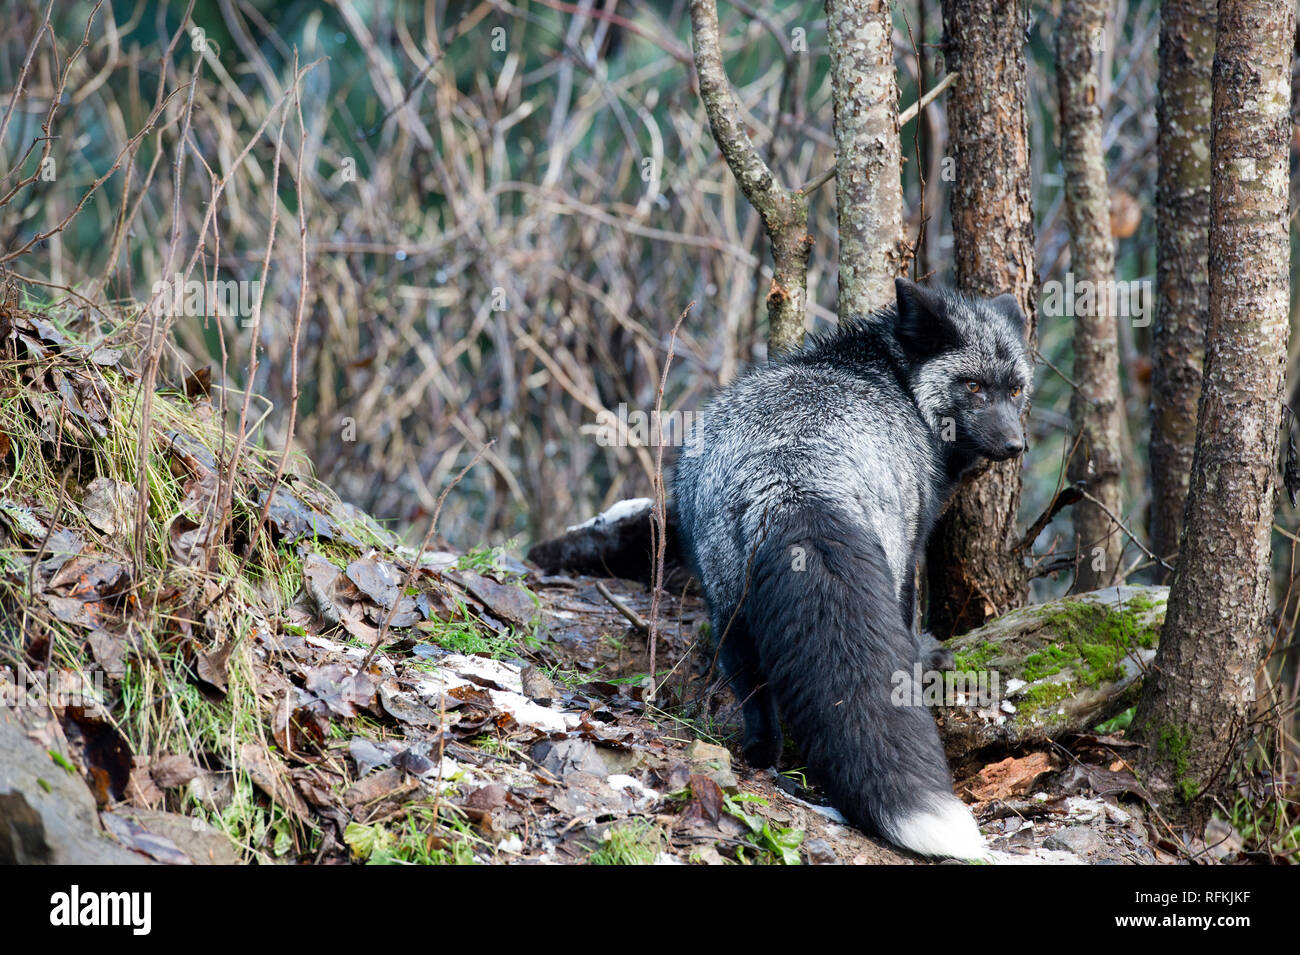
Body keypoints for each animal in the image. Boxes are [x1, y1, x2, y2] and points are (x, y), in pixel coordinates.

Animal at [673, 278, 1032, 859]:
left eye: (1015, 390)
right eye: (974, 386)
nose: (1014, 446)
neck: (889, 378)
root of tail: (790, 480)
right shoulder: (912, 550)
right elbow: (909, 620)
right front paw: (929, 652)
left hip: (727, 607)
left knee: (752, 686)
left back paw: (762, 756)